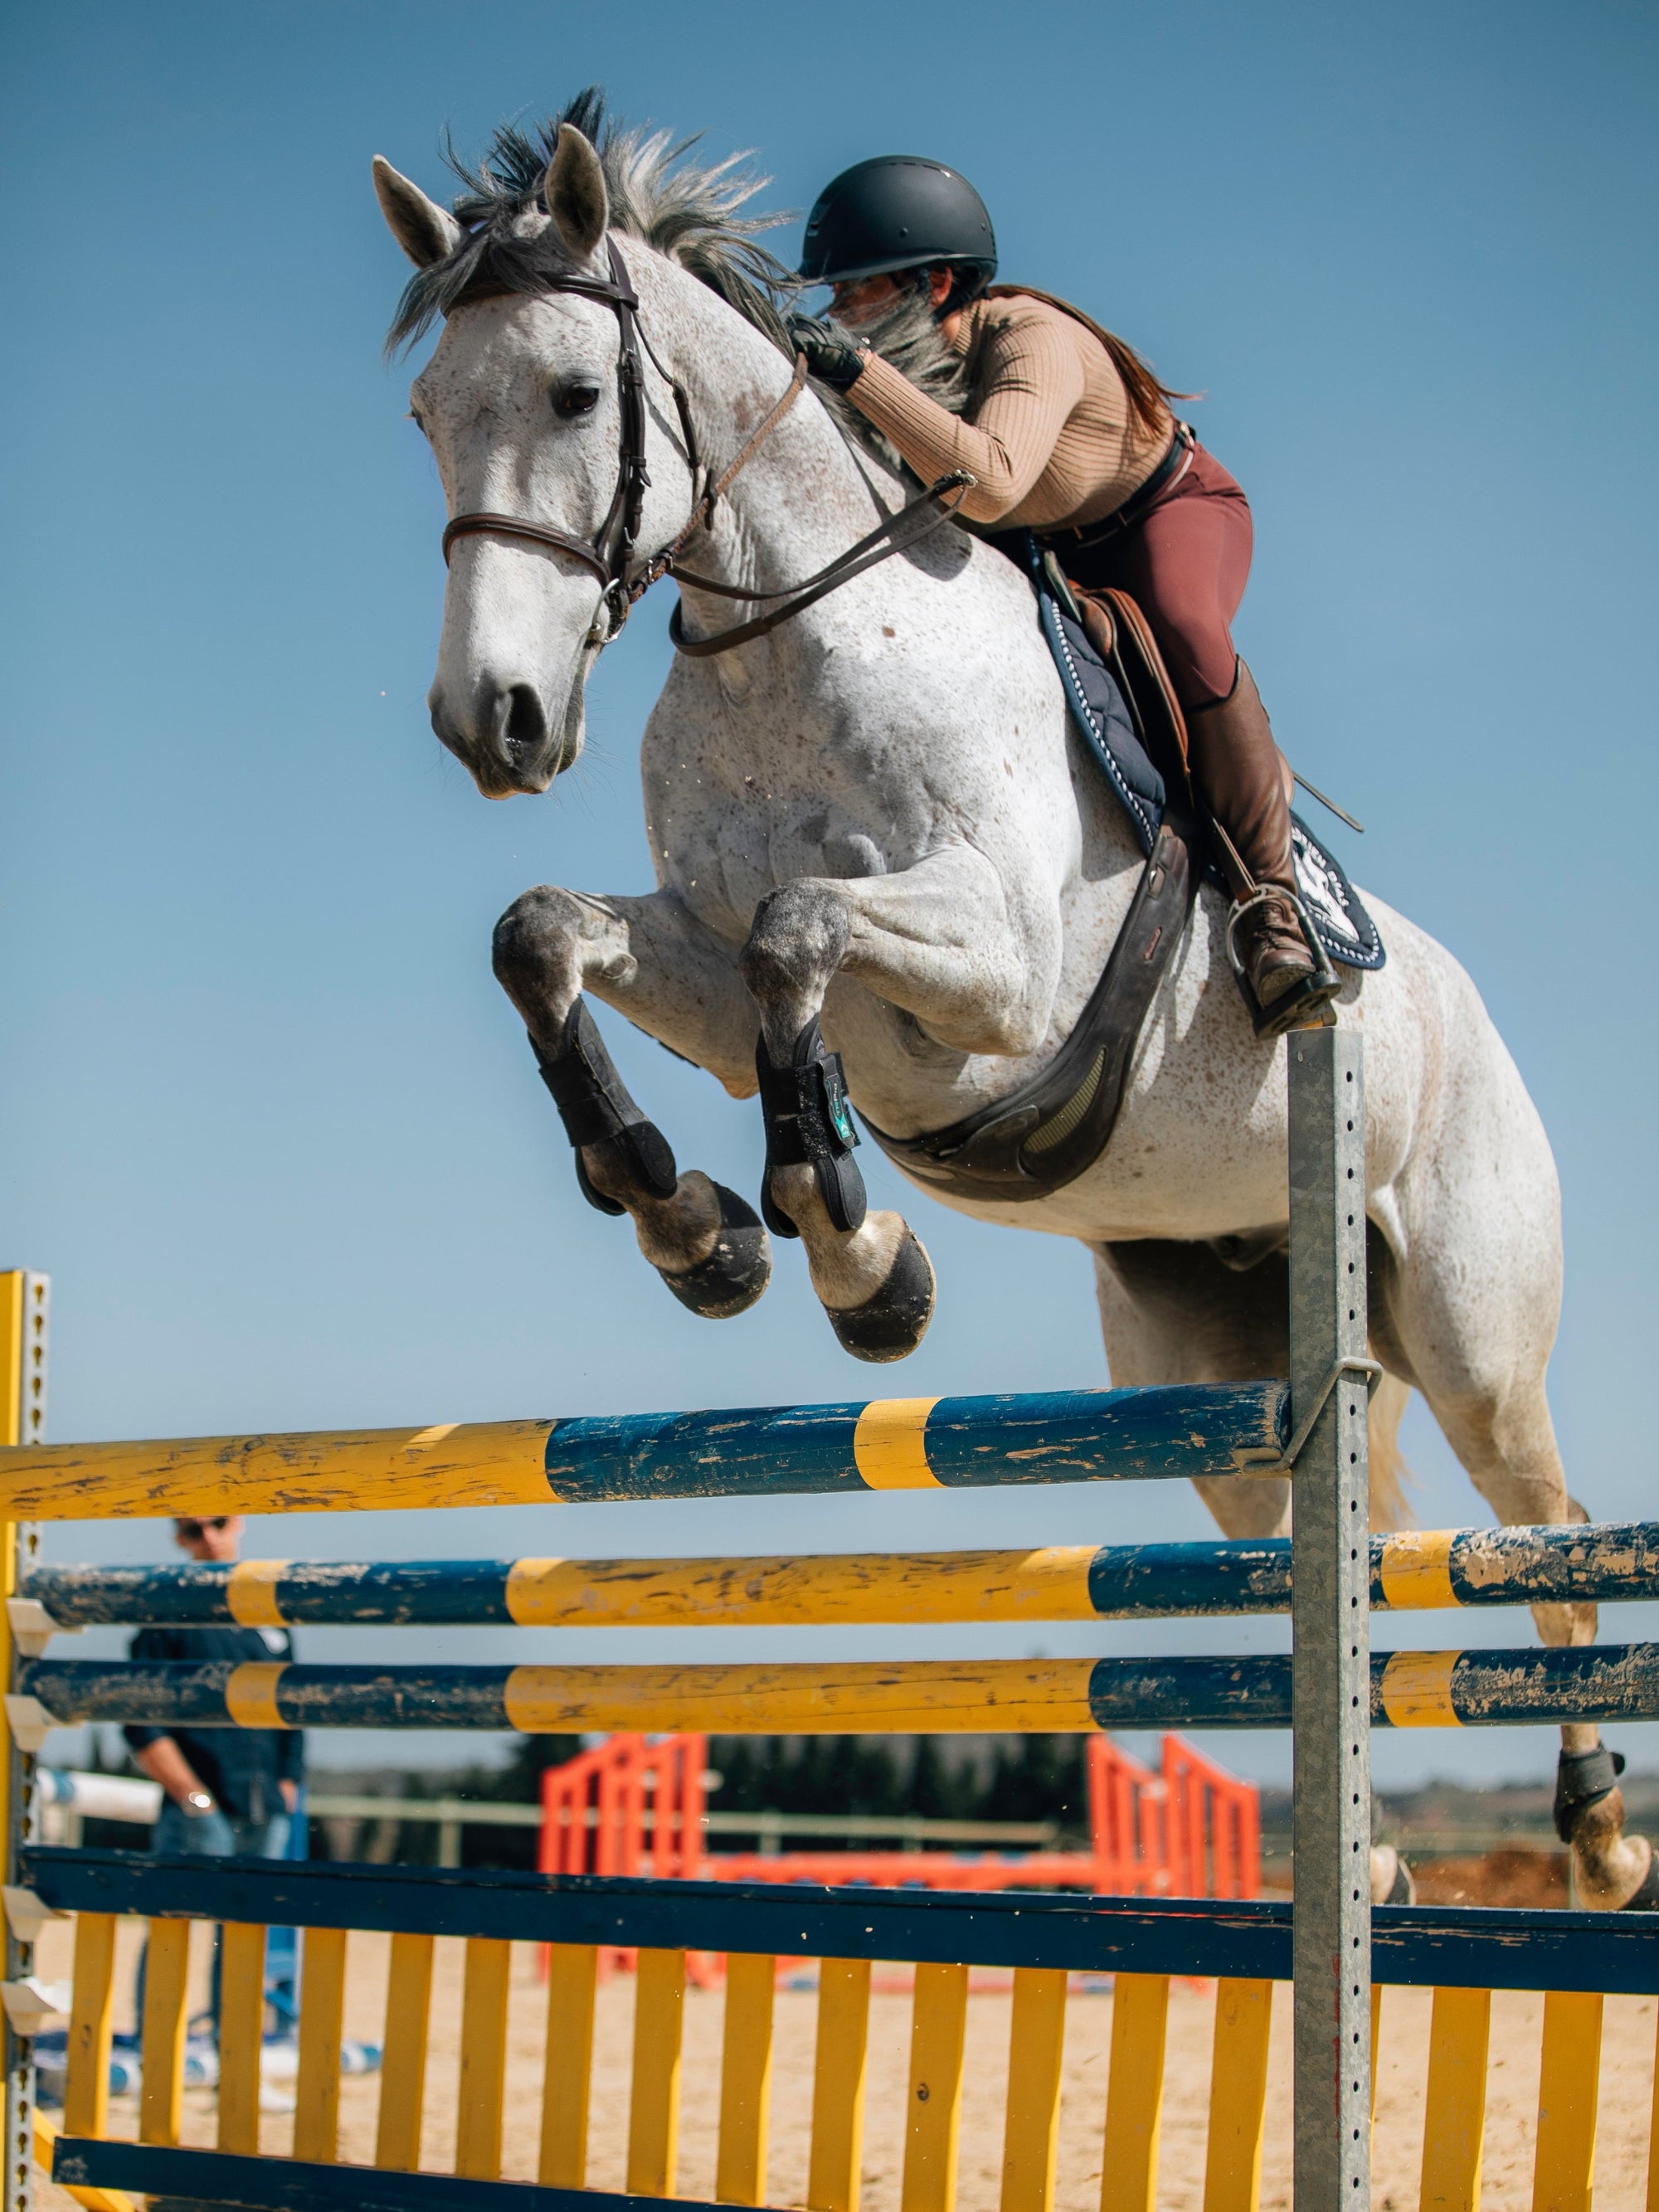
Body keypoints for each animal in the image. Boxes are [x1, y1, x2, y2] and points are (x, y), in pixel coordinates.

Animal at [370, 95, 1653, 1910]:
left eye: (568, 394)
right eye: (427, 415)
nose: (496, 720)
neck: (793, 636)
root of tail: (1469, 1011)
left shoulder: (1003, 977)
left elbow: (795, 934)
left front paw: (855, 1257)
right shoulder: (700, 961)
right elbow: (547, 937)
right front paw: (695, 1223)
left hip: (1476, 1332)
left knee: (1539, 1534)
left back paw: (1600, 1832)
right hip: (1215, 1380)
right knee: (1301, 1562)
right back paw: (1378, 1868)